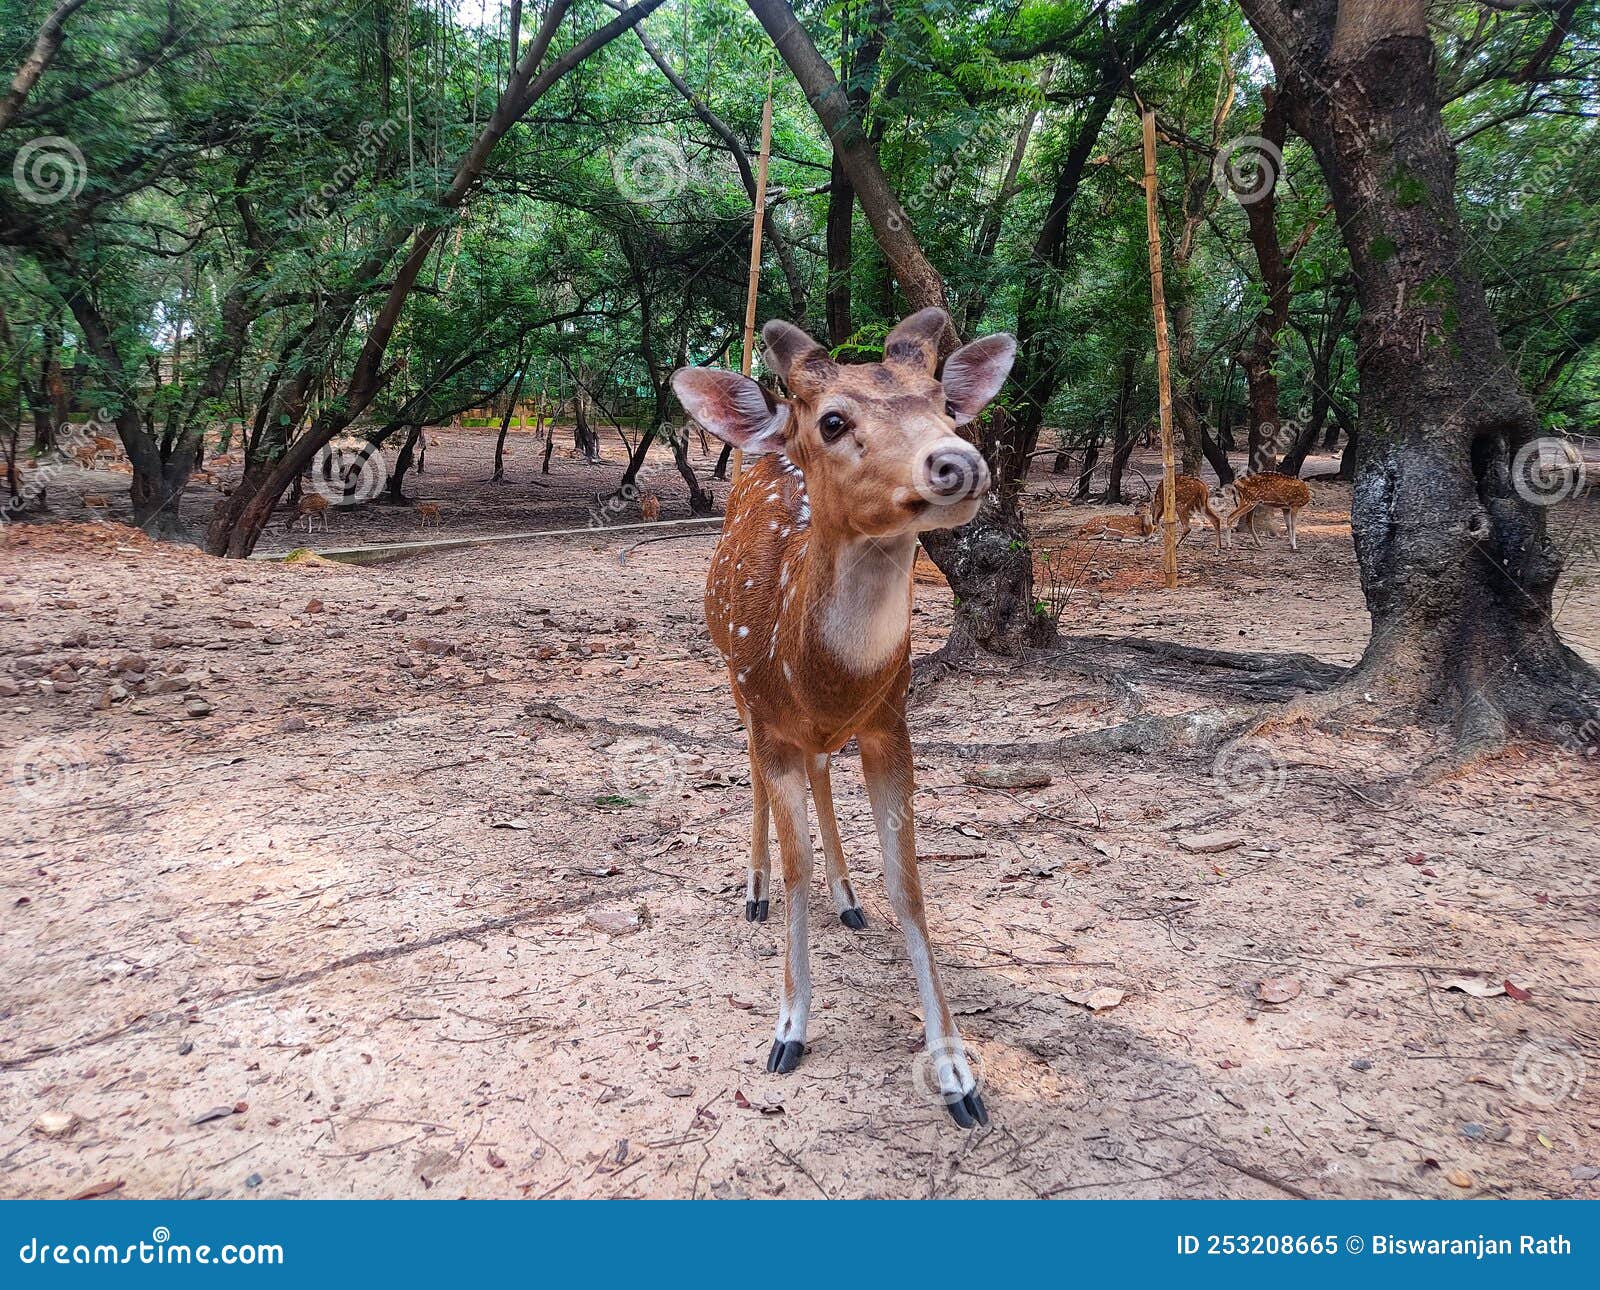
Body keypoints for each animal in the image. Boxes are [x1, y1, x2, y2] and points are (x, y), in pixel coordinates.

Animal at [672, 307, 1014, 1129]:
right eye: (832, 420)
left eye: (945, 403)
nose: (957, 462)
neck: (820, 676)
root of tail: (763, 446)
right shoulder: (768, 712)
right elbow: (794, 862)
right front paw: (789, 1030)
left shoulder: (891, 719)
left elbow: (909, 882)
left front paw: (957, 1073)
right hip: (731, 676)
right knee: (751, 773)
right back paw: (755, 889)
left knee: (825, 767)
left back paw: (848, 898)